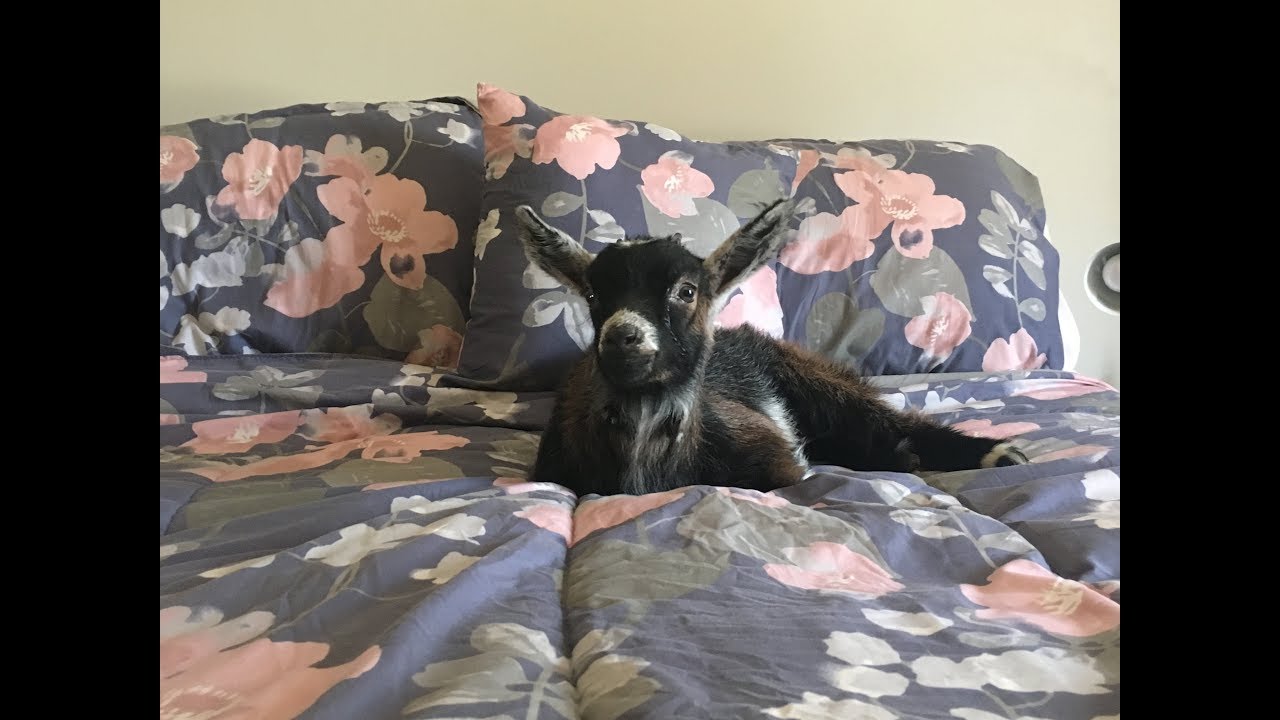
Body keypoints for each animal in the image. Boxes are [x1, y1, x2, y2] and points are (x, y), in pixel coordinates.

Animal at [515, 199, 1028, 497]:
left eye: (686, 291)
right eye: (593, 295)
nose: (622, 336)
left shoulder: (781, 461)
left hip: (819, 380)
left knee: (891, 419)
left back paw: (997, 454)